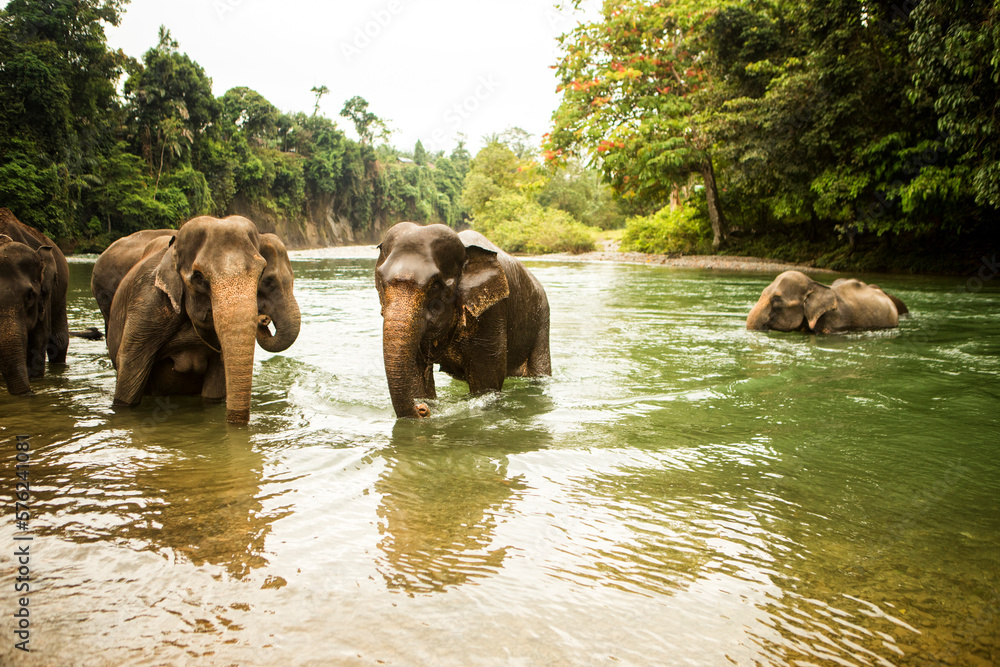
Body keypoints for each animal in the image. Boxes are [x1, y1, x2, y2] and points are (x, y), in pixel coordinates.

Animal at [375, 222, 551, 419]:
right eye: (381, 281)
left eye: (435, 286)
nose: (422, 409)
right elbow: (415, 372)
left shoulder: (491, 312)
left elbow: (487, 380)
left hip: (541, 317)